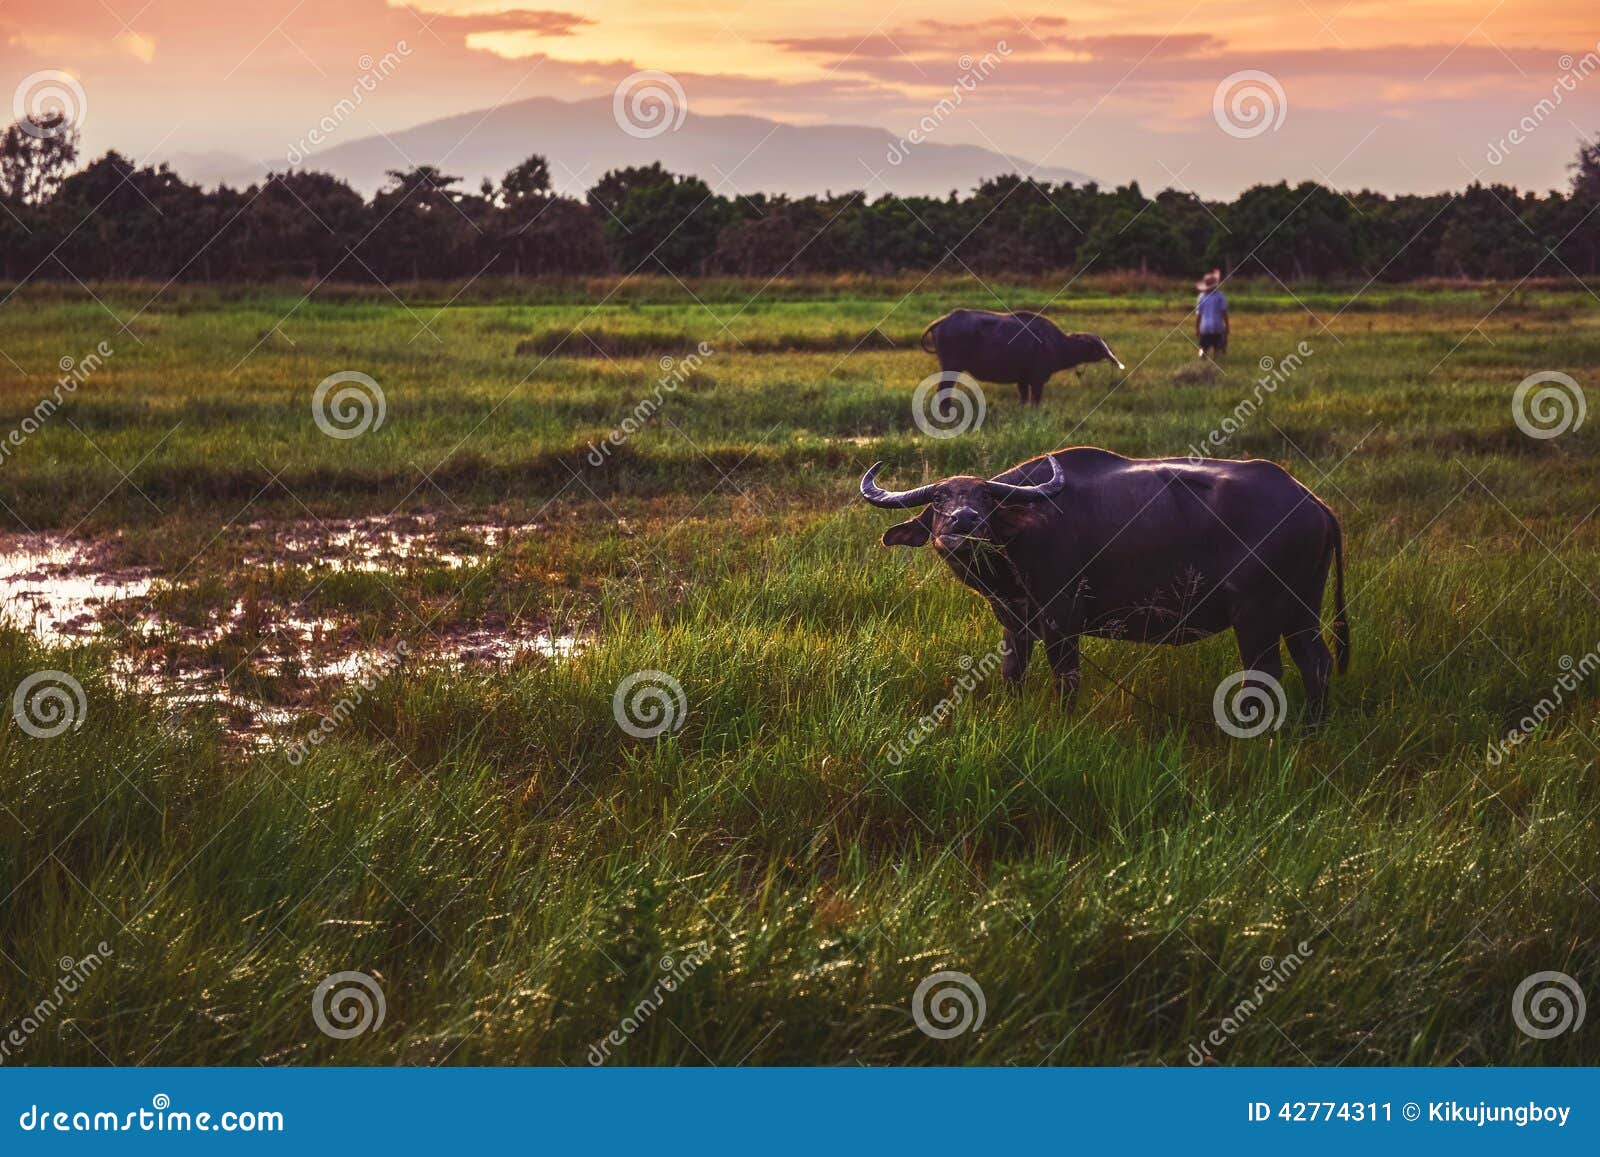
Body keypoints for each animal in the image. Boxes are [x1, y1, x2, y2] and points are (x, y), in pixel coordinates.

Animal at [862, 447, 1349, 723]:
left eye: (986, 498)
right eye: (939, 499)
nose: (963, 523)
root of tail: (1312, 501)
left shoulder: (1061, 621)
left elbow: (1066, 679)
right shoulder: (1014, 624)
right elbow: (1012, 673)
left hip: (1257, 616)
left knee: (1265, 674)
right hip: (1302, 610)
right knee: (1316, 664)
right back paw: (1314, 725)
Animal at [921, 309, 1124, 407]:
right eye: (1097, 346)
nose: (1112, 358)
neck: (1056, 343)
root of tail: (945, 319)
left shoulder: (1022, 380)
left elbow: (1024, 399)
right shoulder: (1038, 379)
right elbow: (1035, 401)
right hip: (951, 366)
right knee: (943, 390)